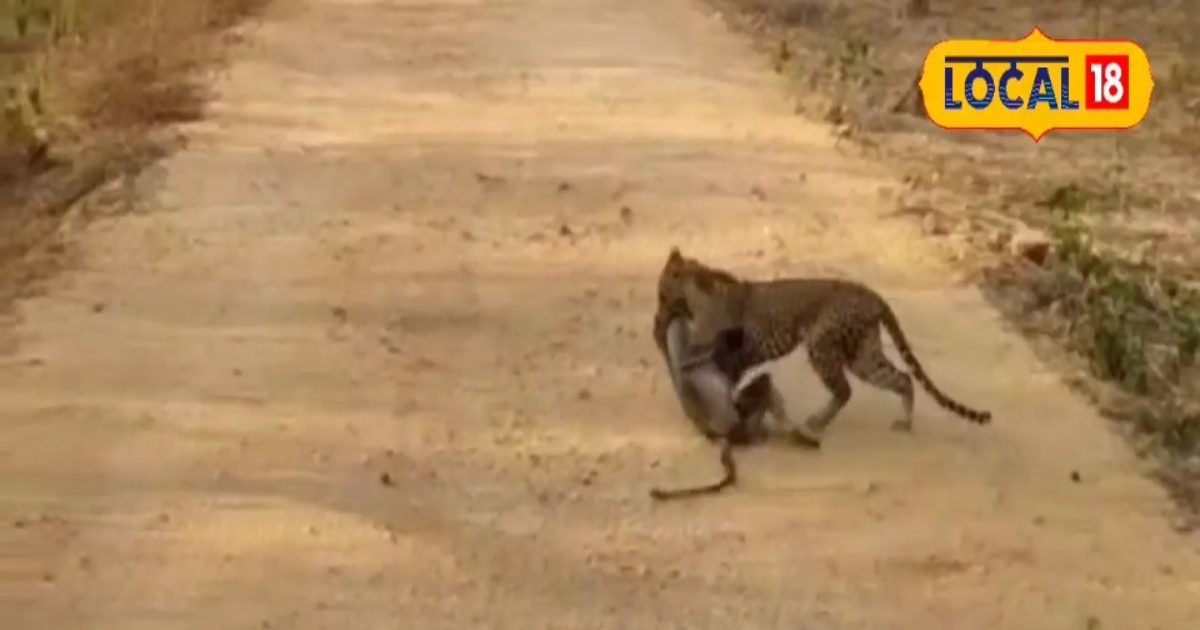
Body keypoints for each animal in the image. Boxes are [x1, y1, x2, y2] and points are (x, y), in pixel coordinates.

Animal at [654, 247, 991, 450]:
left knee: (845, 389)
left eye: (661, 295)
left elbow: (693, 355)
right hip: (863, 354)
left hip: (822, 344)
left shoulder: (715, 342)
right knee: (902, 379)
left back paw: (816, 423)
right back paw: (905, 424)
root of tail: (872, 295)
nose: (658, 315)